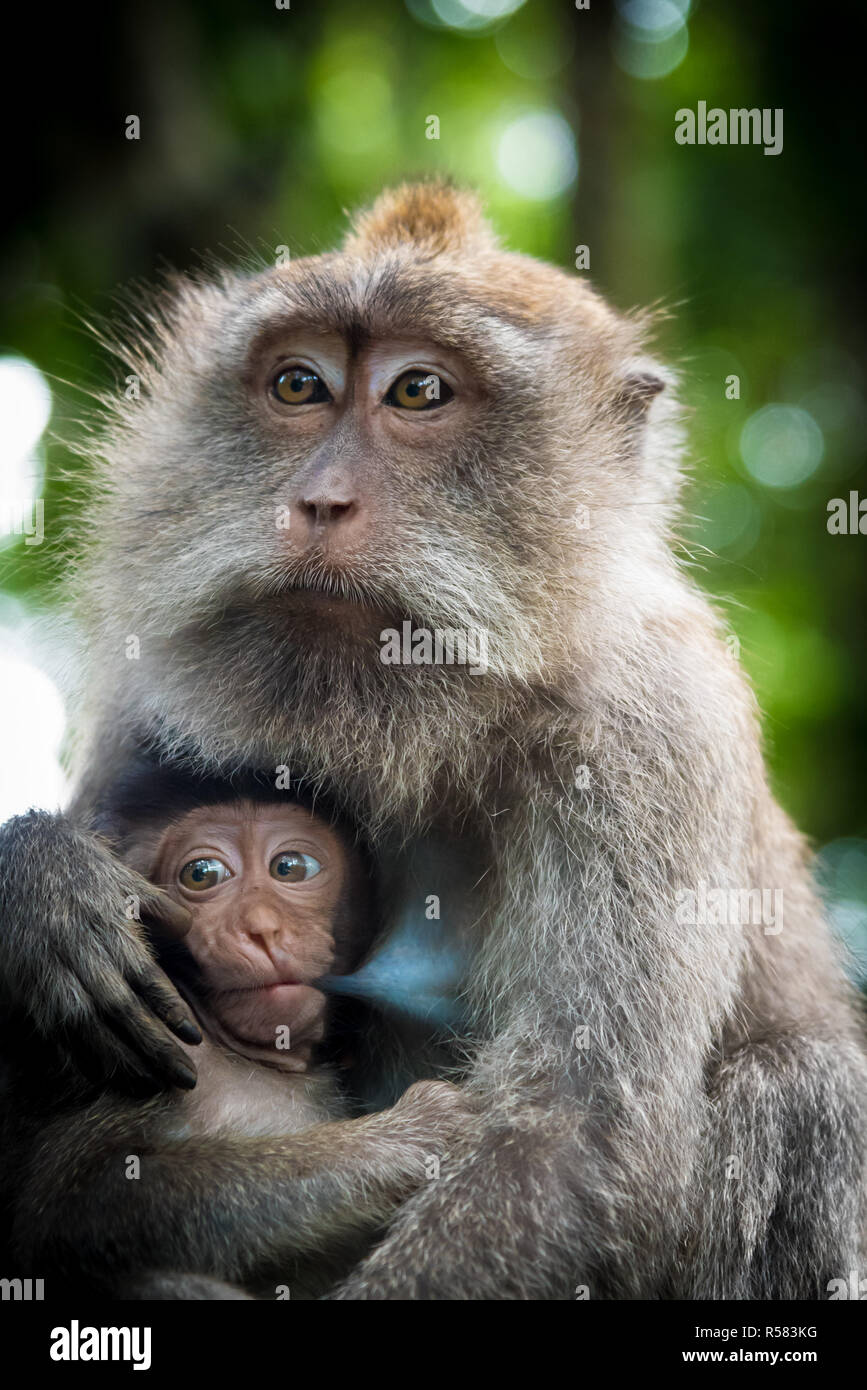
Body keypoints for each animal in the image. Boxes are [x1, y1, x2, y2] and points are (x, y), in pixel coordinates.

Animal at [1, 789, 473, 1300]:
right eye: (201, 874)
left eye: (291, 867)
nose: (262, 928)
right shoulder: (119, 1054)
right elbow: (72, 1212)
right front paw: (408, 1137)